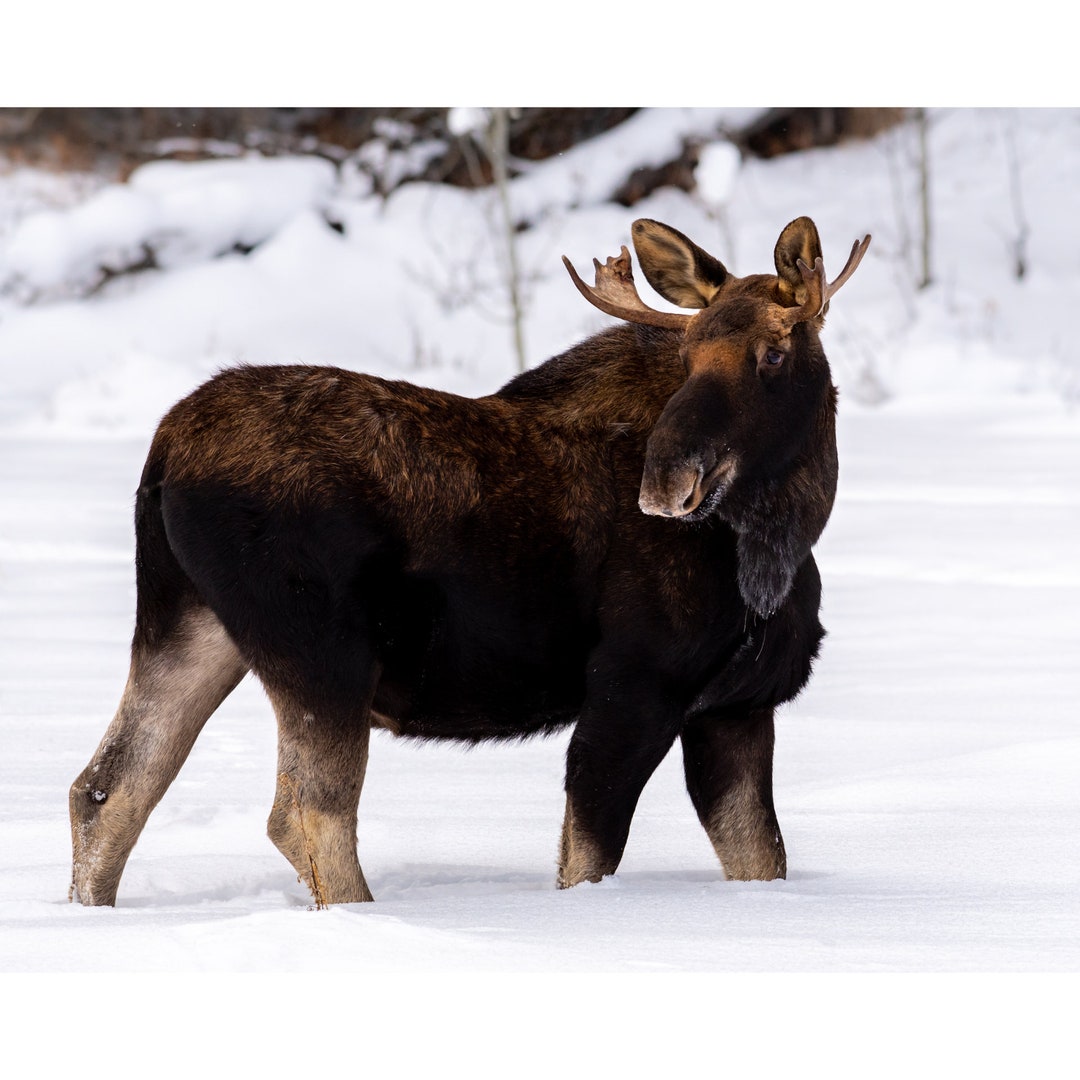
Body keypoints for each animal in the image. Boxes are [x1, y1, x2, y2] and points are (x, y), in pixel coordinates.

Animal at [69, 216, 869, 907]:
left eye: (773, 354)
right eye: (685, 356)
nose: (668, 481)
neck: (780, 542)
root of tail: (165, 455)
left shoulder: (736, 708)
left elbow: (762, 858)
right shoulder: (634, 686)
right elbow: (587, 859)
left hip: (189, 626)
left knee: (108, 789)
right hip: (322, 653)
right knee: (306, 812)